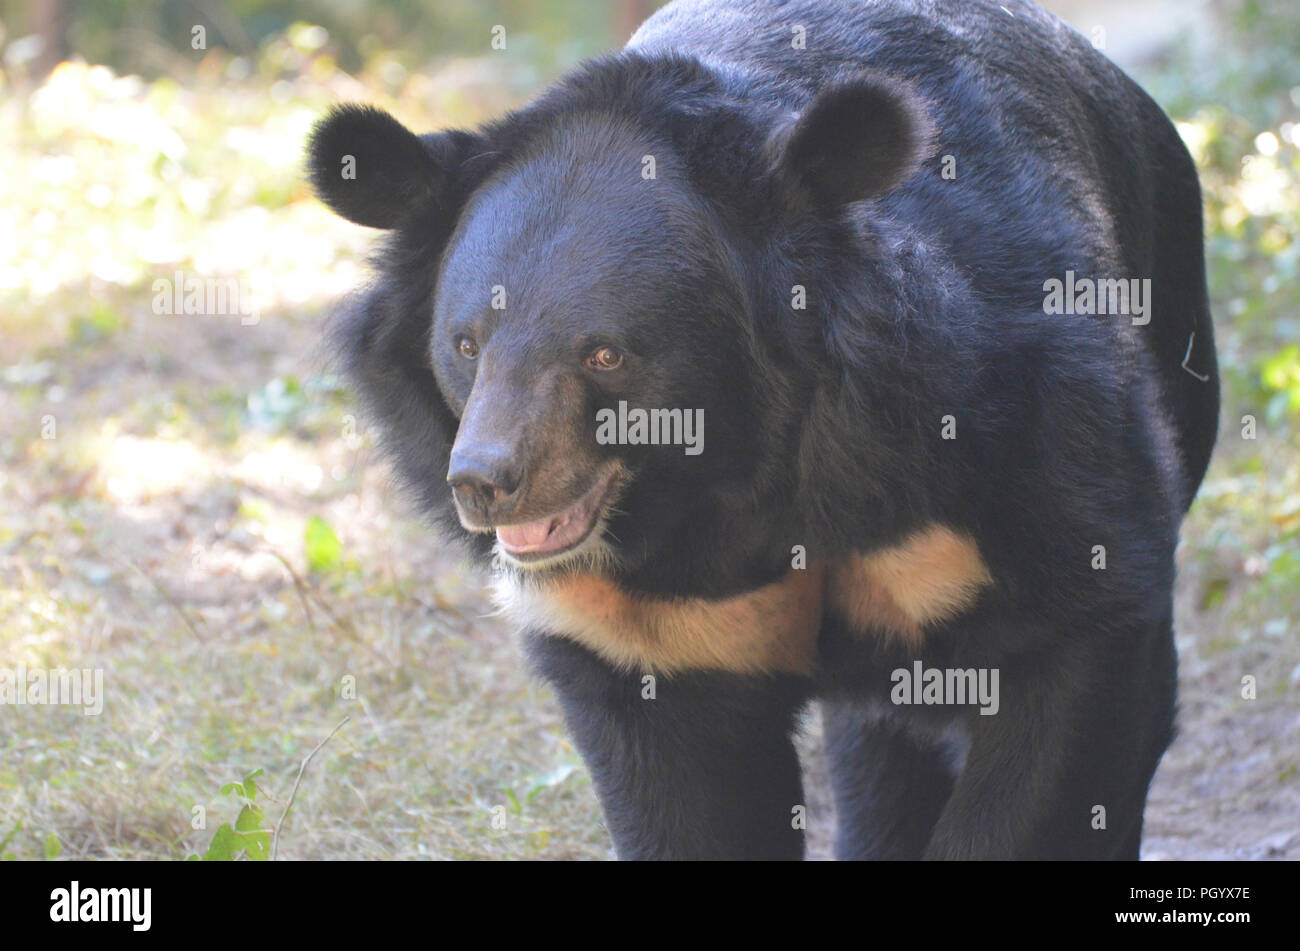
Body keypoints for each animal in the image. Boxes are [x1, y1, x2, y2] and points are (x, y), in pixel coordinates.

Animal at [307, 0, 1218, 860]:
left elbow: (1073, 639)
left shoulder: (1018, 423)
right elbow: (689, 792)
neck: (740, 471)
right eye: (466, 344)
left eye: (606, 353)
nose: (486, 482)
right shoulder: (649, 620)